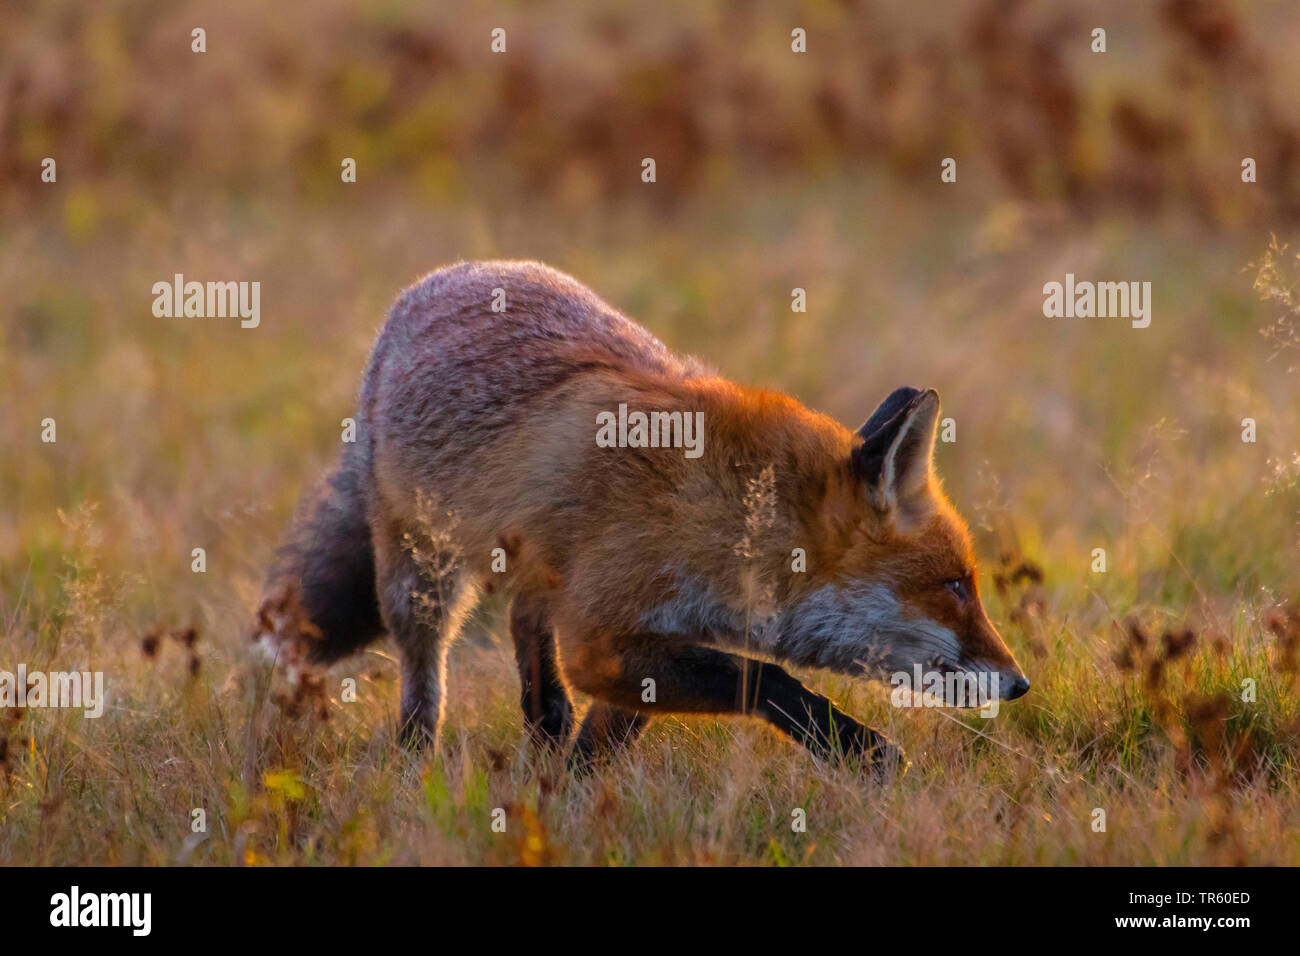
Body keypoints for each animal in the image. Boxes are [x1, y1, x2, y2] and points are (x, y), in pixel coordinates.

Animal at [259, 260, 1029, 771]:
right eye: (955, 587)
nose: (1020, 683)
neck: (719, 516)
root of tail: (446, 274)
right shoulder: (604, 638)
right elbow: (767, 679)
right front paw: (859, 750)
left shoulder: (647, 638)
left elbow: (608, 740)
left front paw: (564, 799)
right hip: (420, 576)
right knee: (426, 680)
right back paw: (417, 759)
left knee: (527, 624)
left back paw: (544, 728)